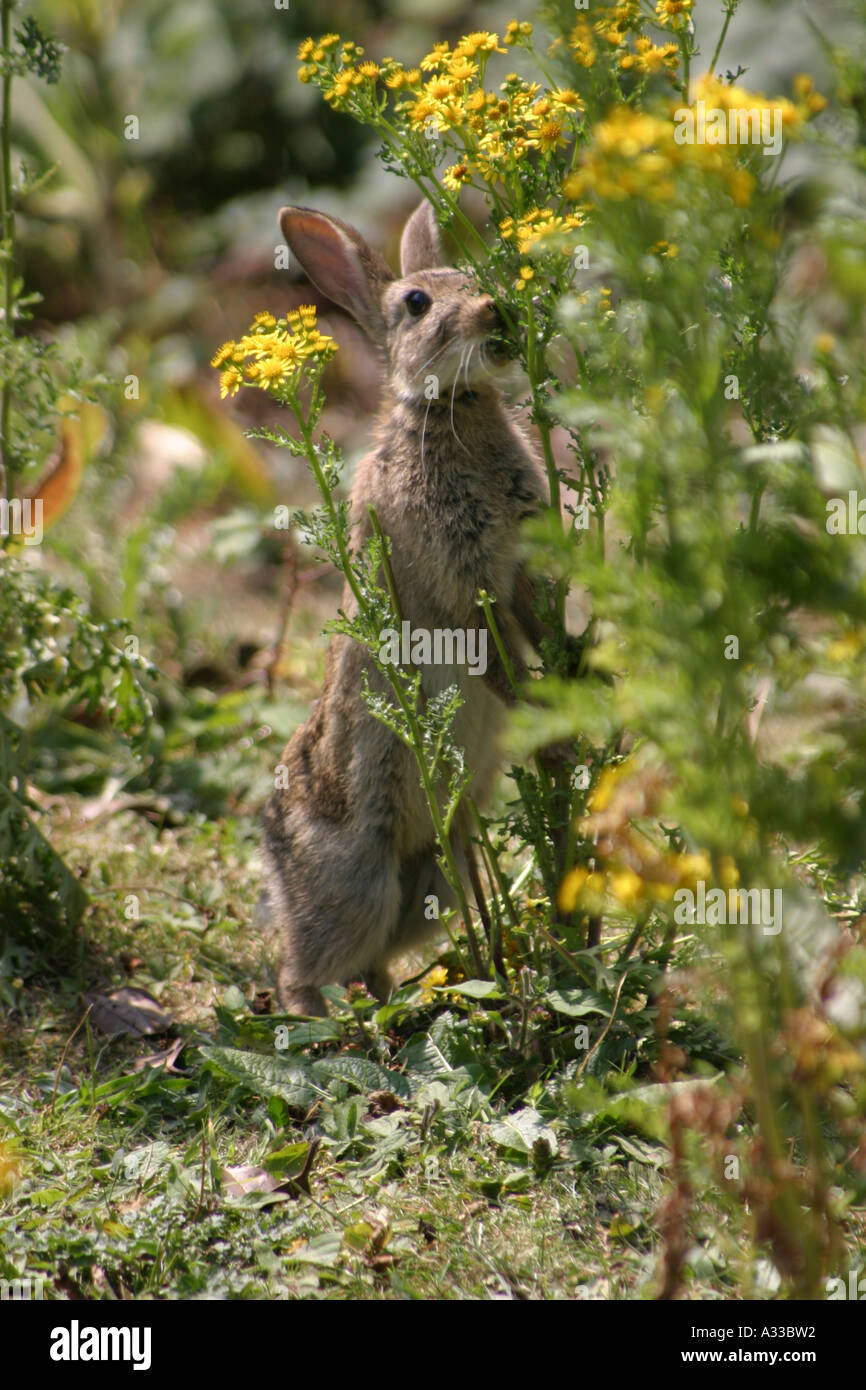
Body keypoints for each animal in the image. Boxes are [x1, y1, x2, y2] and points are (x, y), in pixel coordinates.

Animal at [261, 199, 561, 1016]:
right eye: (418, 304)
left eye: (469, 276)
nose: (498, 311)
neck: (451, 411)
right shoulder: (454, 589)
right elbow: (487, 656)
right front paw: (539, 707)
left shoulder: (517, 575)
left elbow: (531, 627)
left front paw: (579, 683)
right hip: (356, 881)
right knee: (304, 970)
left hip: (434, 880)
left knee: (382, 959)